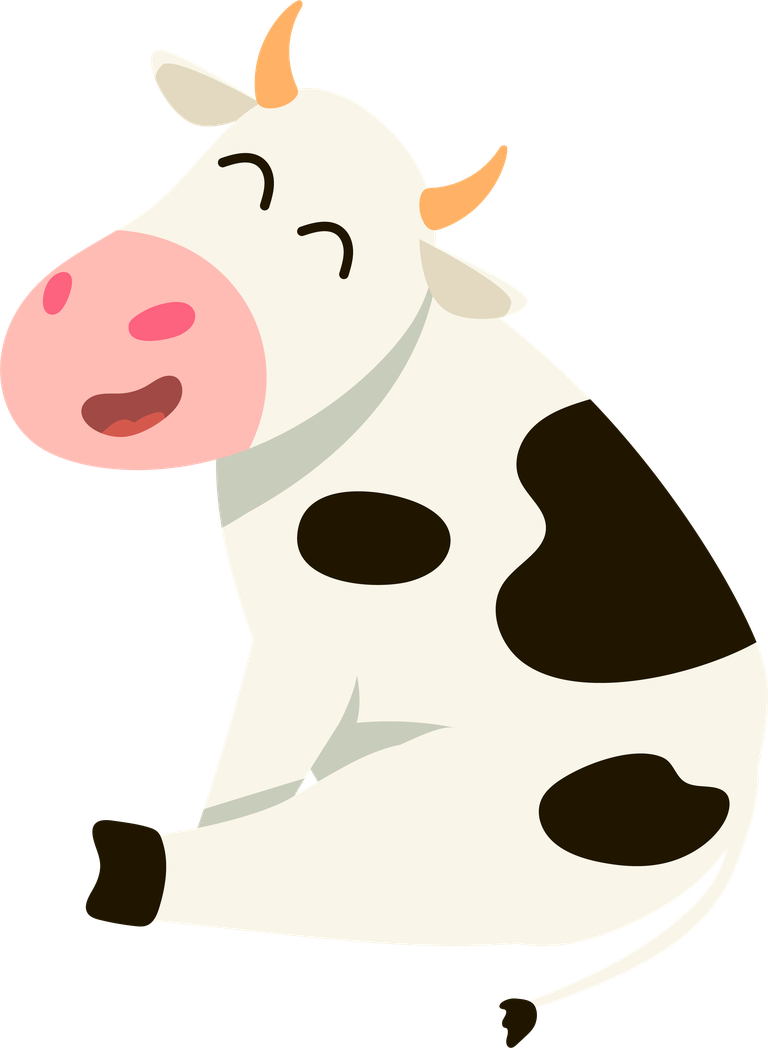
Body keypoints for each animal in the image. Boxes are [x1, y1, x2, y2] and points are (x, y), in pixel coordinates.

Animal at [1, 4, 764, 1045]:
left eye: (335, 249)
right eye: (235, 166)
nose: (135, 311)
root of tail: (748, 795)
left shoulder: (313, 631)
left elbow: (256, 765)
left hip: (500, 807)